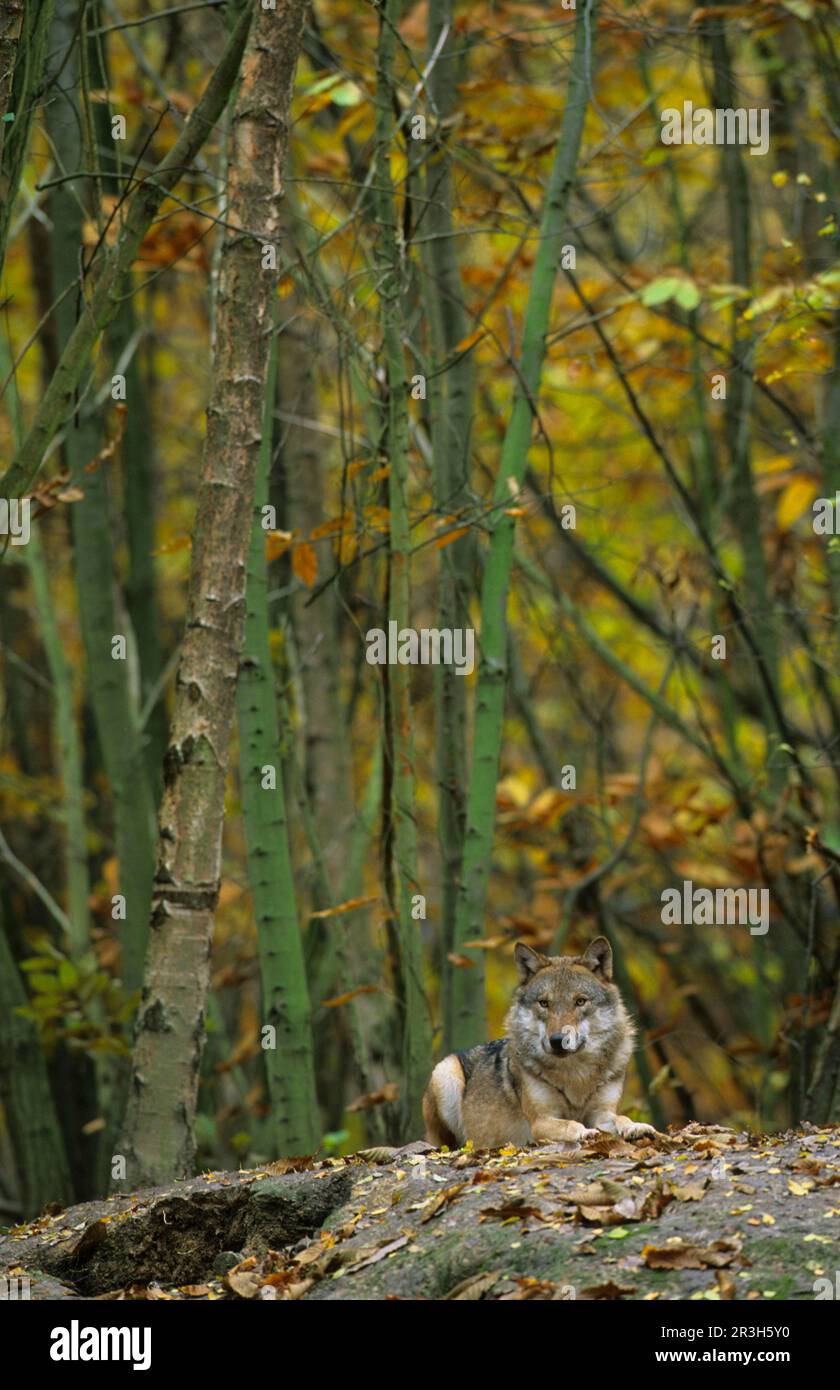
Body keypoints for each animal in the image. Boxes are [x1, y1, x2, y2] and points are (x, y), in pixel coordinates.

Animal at [423, 938, 655, 1148]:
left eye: (580, 1001)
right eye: (544, 1003)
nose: (558, 1040)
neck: (575, 1075)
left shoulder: (602, 1113)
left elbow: (621, 1118)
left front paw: (635, 1126)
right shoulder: (540, 1121)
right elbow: (571, 1124)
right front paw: (584, 1133)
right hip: (446, 1073)